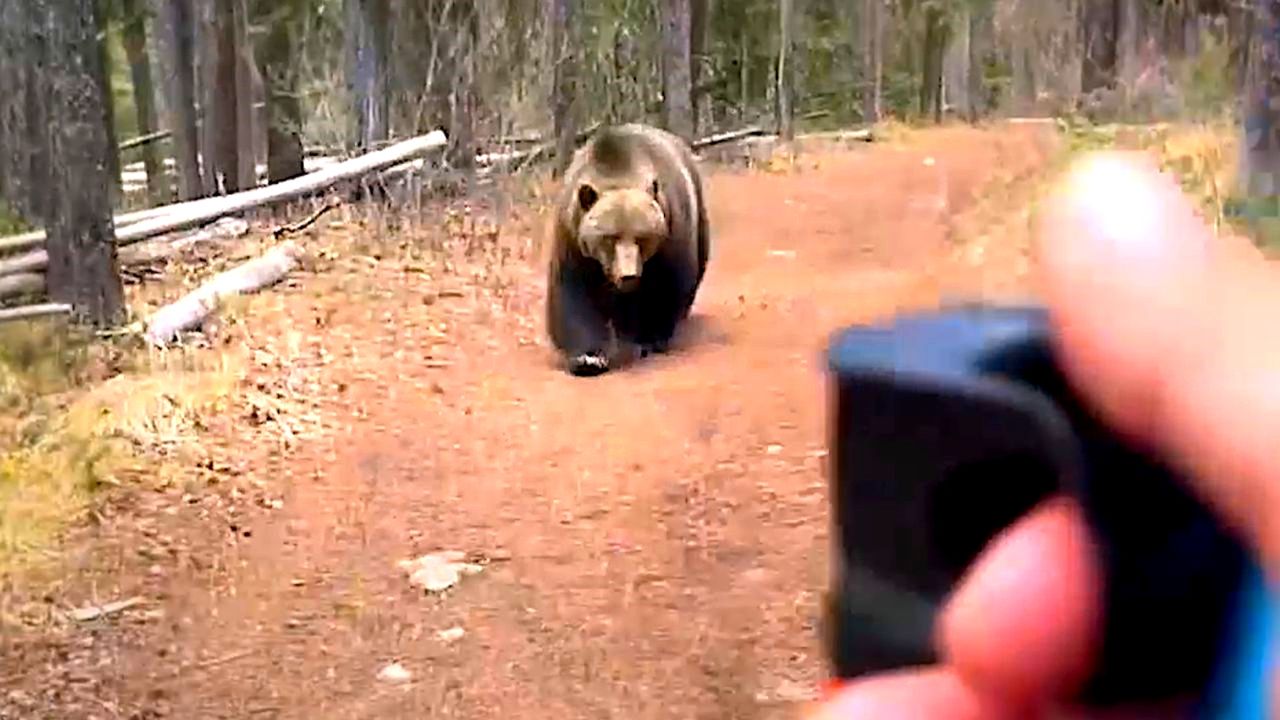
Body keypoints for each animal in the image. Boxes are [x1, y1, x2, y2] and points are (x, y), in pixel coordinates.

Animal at [545, 123, 710, 377]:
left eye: (642, 237)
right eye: (609, 237)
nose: (628, 275)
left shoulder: (671, 230)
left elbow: (666, 286)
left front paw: (651, 338)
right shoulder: (573, 240)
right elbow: (573, 294)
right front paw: (588, 358)